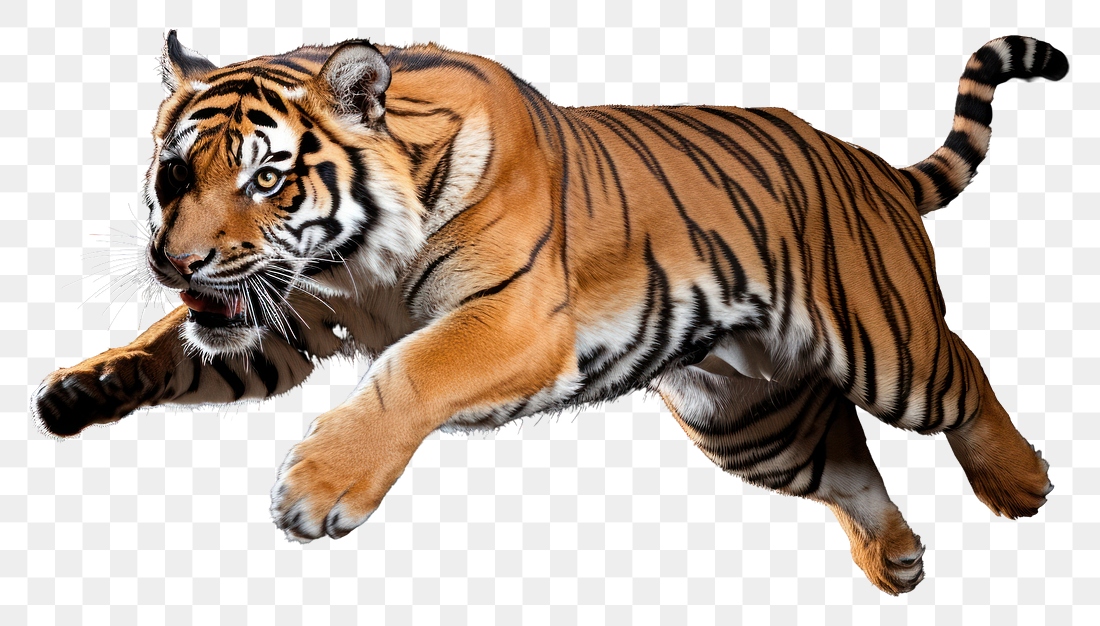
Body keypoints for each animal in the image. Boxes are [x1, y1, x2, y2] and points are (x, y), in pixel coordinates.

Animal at [30, 31, 1068, 595]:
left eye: (267, 179)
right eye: (175, 174)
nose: (177, 263)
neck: (353, 269)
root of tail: (867, 161)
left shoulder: (512, 322)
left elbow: (410, 372)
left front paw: (319, 490)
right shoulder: (288, 320)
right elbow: (179, 348)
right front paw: (84, 388)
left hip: (888, 345)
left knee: (964, 373)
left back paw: (1019, 484)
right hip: (747, 418)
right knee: (848, 468)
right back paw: (897, 561)